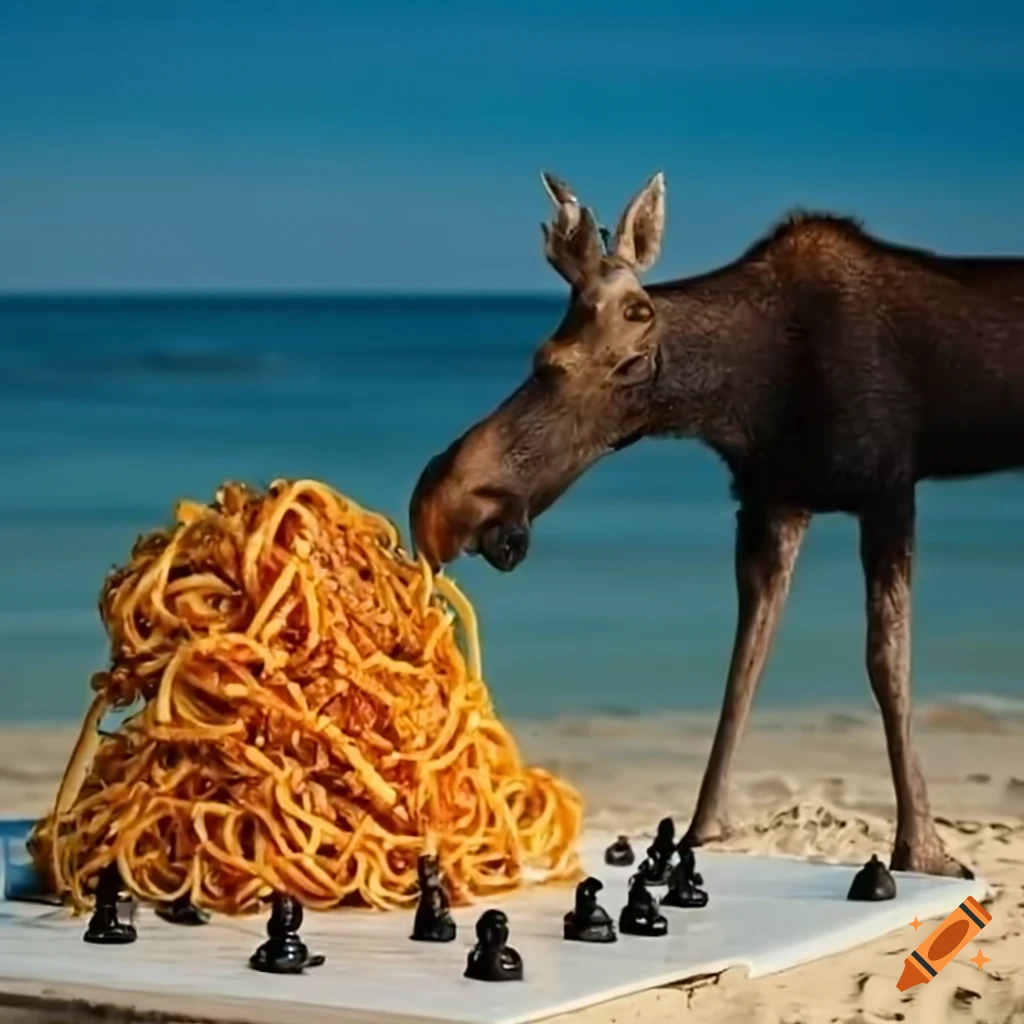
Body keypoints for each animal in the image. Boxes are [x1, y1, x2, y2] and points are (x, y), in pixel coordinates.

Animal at [409, 169, 1024, 878]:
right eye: (547, 351)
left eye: (628, 363)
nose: (441, 505)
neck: (745, 394)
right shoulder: (771, 498)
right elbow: (745, 658)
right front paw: (702, 829)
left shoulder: (889, 486)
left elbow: (887, 659)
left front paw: (922, 848)